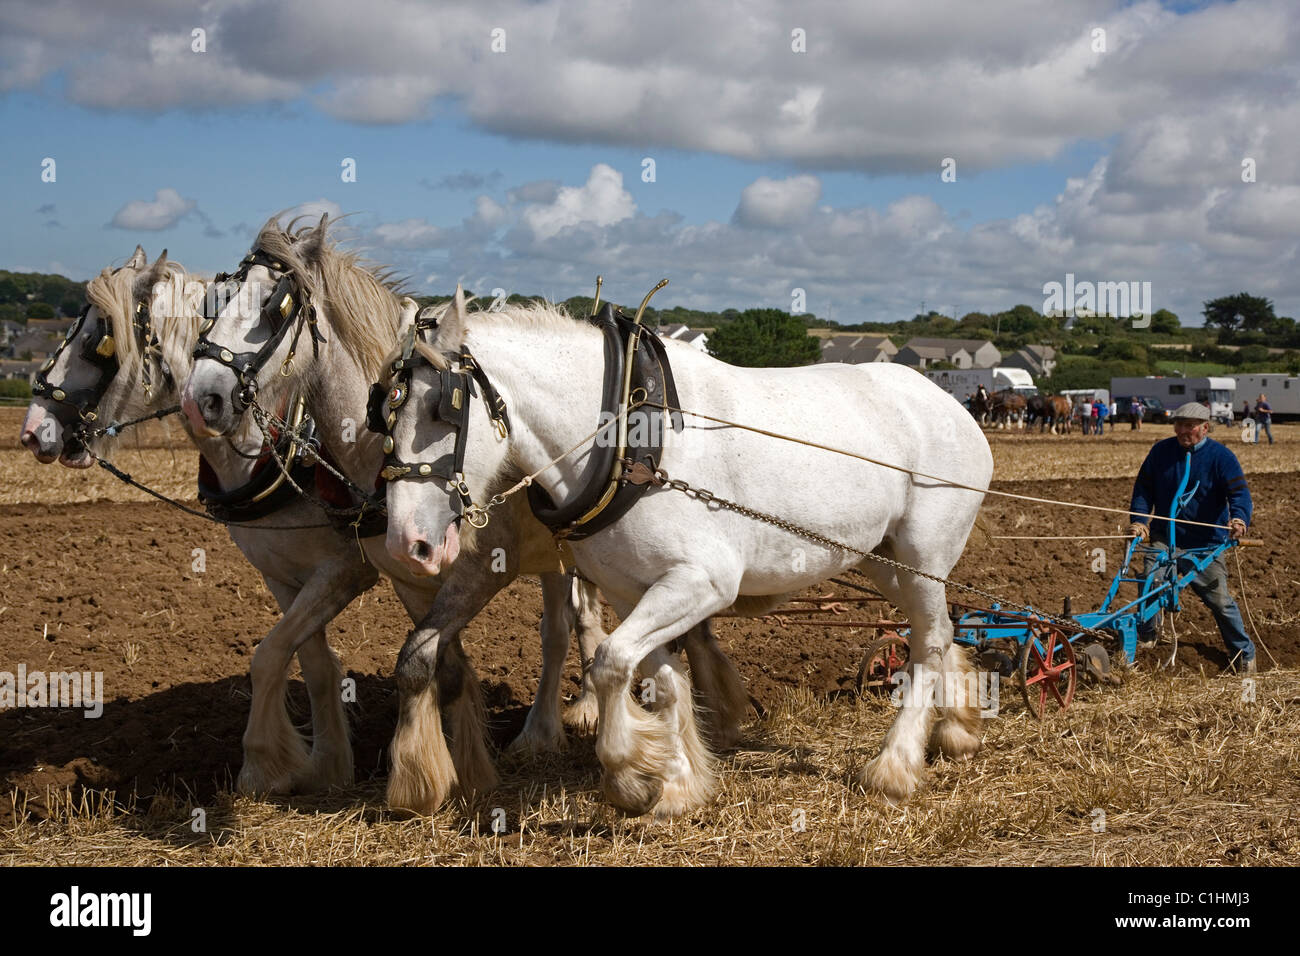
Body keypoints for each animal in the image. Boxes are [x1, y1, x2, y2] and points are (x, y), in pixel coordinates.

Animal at [18, 246, 376, 795]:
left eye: (99, 337)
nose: (33, 430)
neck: (282, 445)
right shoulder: (283, 573)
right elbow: (312, 664)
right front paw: (329, 769)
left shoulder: (346, 568)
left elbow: (269, 655)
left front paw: (262, 765)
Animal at [180, 215, 747, 815]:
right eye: (214, 301)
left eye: (274, 307)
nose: (201, 399)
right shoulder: (406, 575)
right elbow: (435, 667)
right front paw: (458, 766)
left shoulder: (475, 571)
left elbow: (418, 660)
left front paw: (424, 776)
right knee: (573, 626)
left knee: (579, 629)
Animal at [381, 289, 993, 815]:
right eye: (381, 414)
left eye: (443, 410)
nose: (405, 543)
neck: (627, 440)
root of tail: (952, 405)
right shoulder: (631, 592)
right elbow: (665, 680)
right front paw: (678, 782)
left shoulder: (702, 583)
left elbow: (611, 663)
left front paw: (629, 777)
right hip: (882, 559)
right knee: (939, 632)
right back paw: (956, 726)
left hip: (924, 557)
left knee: (927, 642)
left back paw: (894, 765)